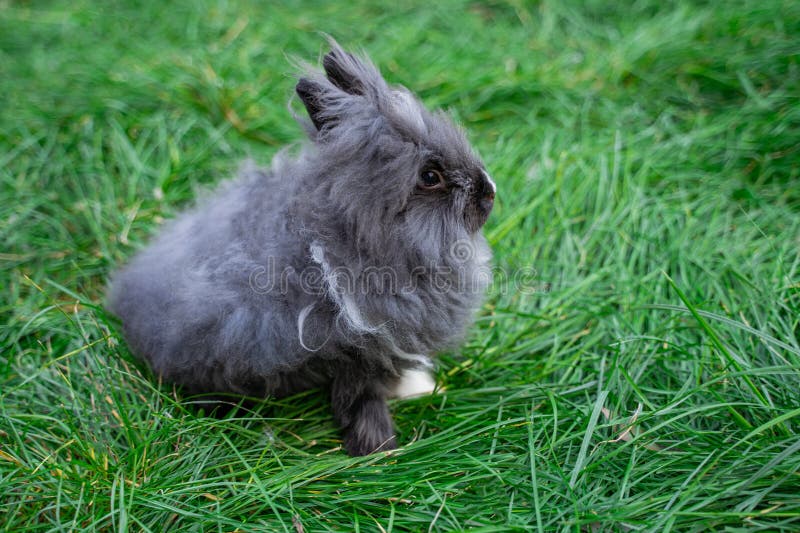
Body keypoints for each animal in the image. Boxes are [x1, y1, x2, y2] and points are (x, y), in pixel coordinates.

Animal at [107, 39, 496, 456]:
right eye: (430, 176)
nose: (489, 191)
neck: (354, 235)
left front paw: (420, 390)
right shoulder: (357, 350)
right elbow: (362, 402)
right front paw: (380, 451)